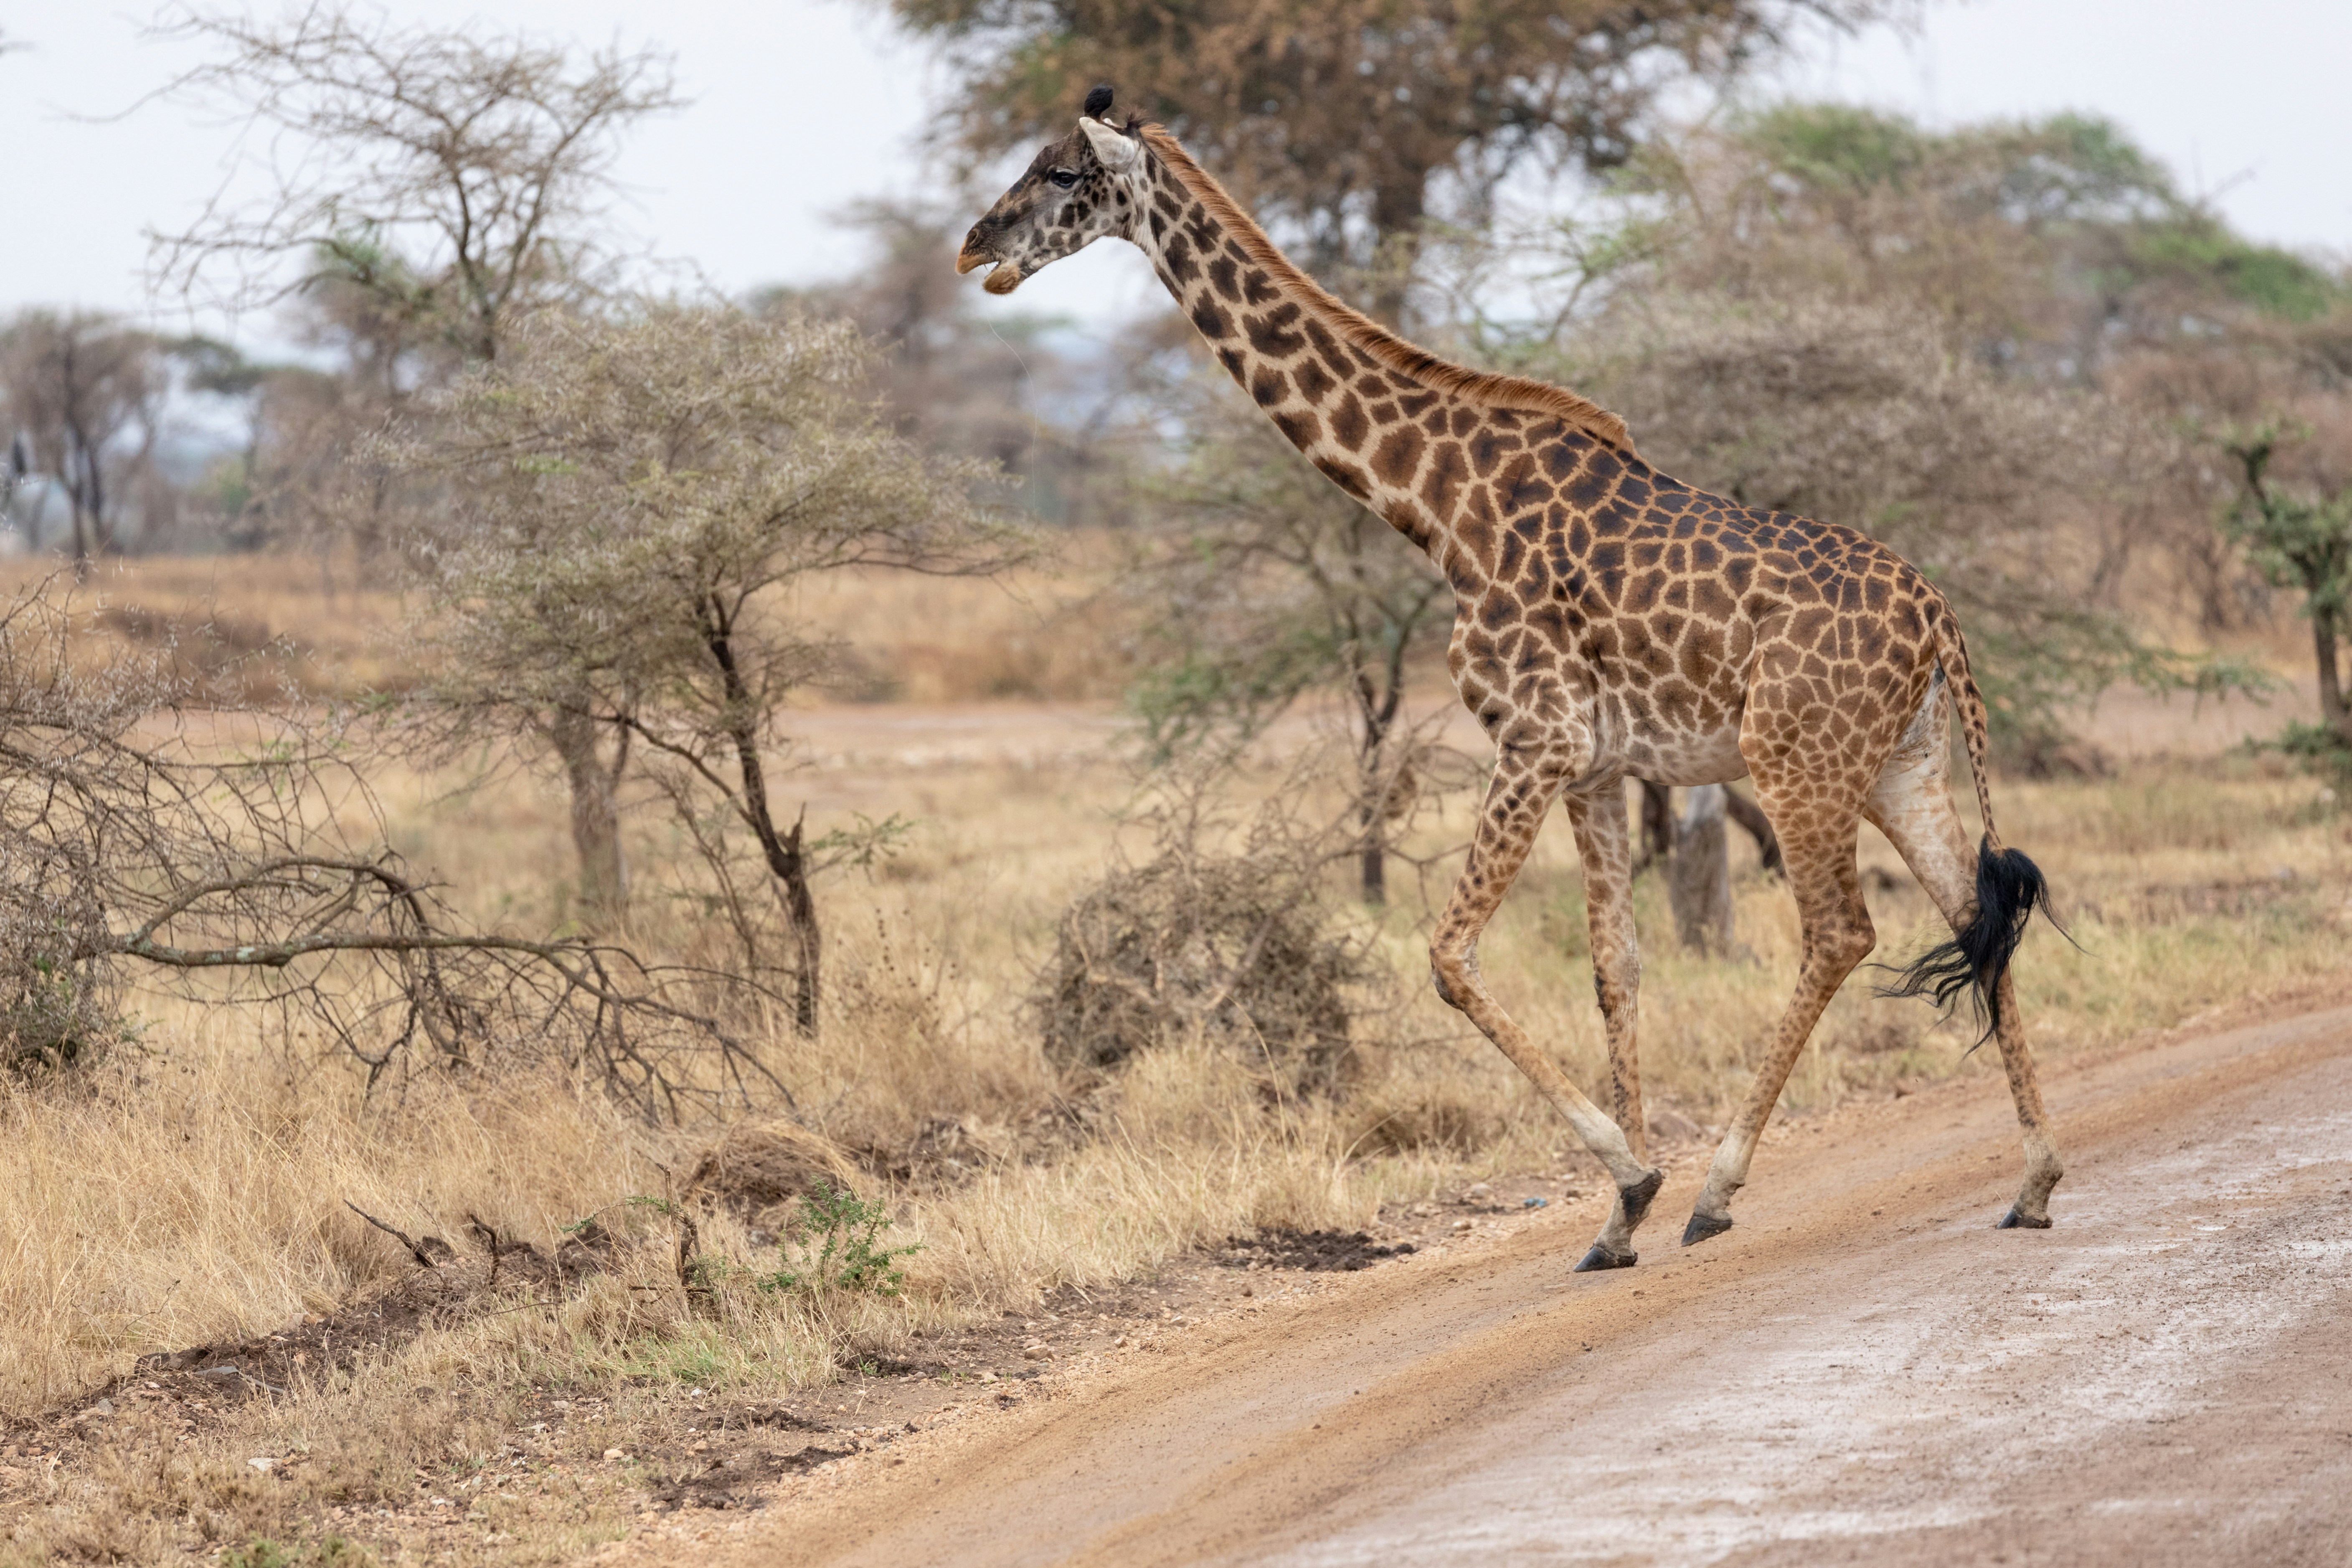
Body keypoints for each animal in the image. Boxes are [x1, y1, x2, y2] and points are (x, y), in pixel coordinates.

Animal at [959, 86, 2066, 1269]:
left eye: (1063, 174)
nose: (975, 246)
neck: (1439, 505)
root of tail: (1936, 615)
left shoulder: (1532, 738)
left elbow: (1449, 956)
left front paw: (1637, 1179)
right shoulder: (1594, 764)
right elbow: (1614, 963)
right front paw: (1617, 1221)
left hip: (1796, 762)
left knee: (1840, 932)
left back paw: (1722, 1189)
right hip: (1902, 764)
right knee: (1974, 912)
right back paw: (2034, 1178)